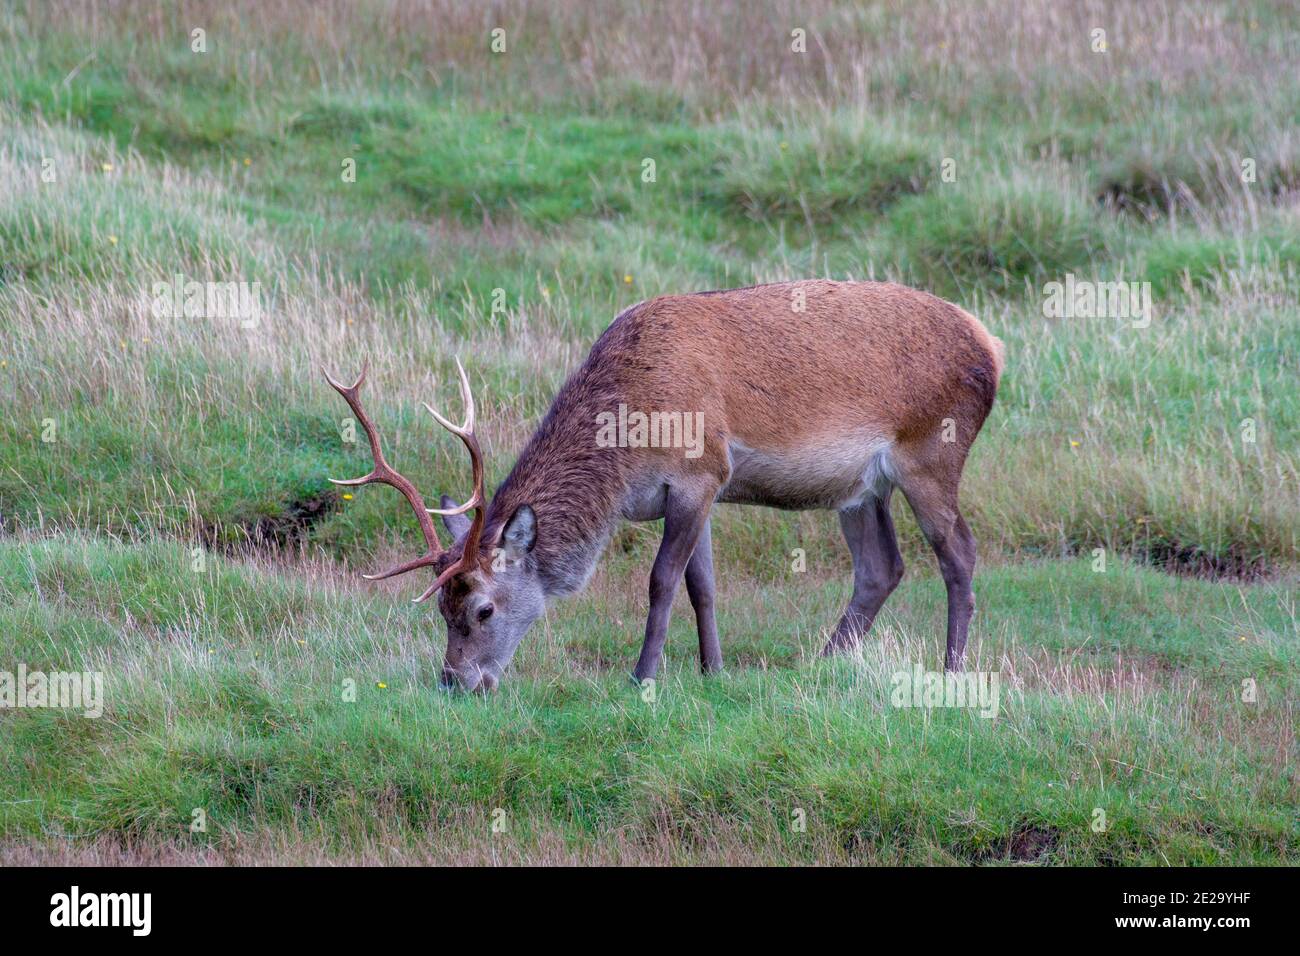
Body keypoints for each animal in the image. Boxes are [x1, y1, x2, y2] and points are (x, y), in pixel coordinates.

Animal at [325, 280, 1004, 693]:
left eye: (483, 608)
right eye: (441, 607)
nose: (456, 683)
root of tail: (993, 346)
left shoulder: (699, 472)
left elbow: (660, 581)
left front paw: (643, 676)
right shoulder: (698, 490)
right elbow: (702, 584)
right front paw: (712, 672)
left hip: (933, 453)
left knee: (959, 553)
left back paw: (950, 670)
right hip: (862, 487)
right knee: (881, 566)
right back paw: (820, 664)